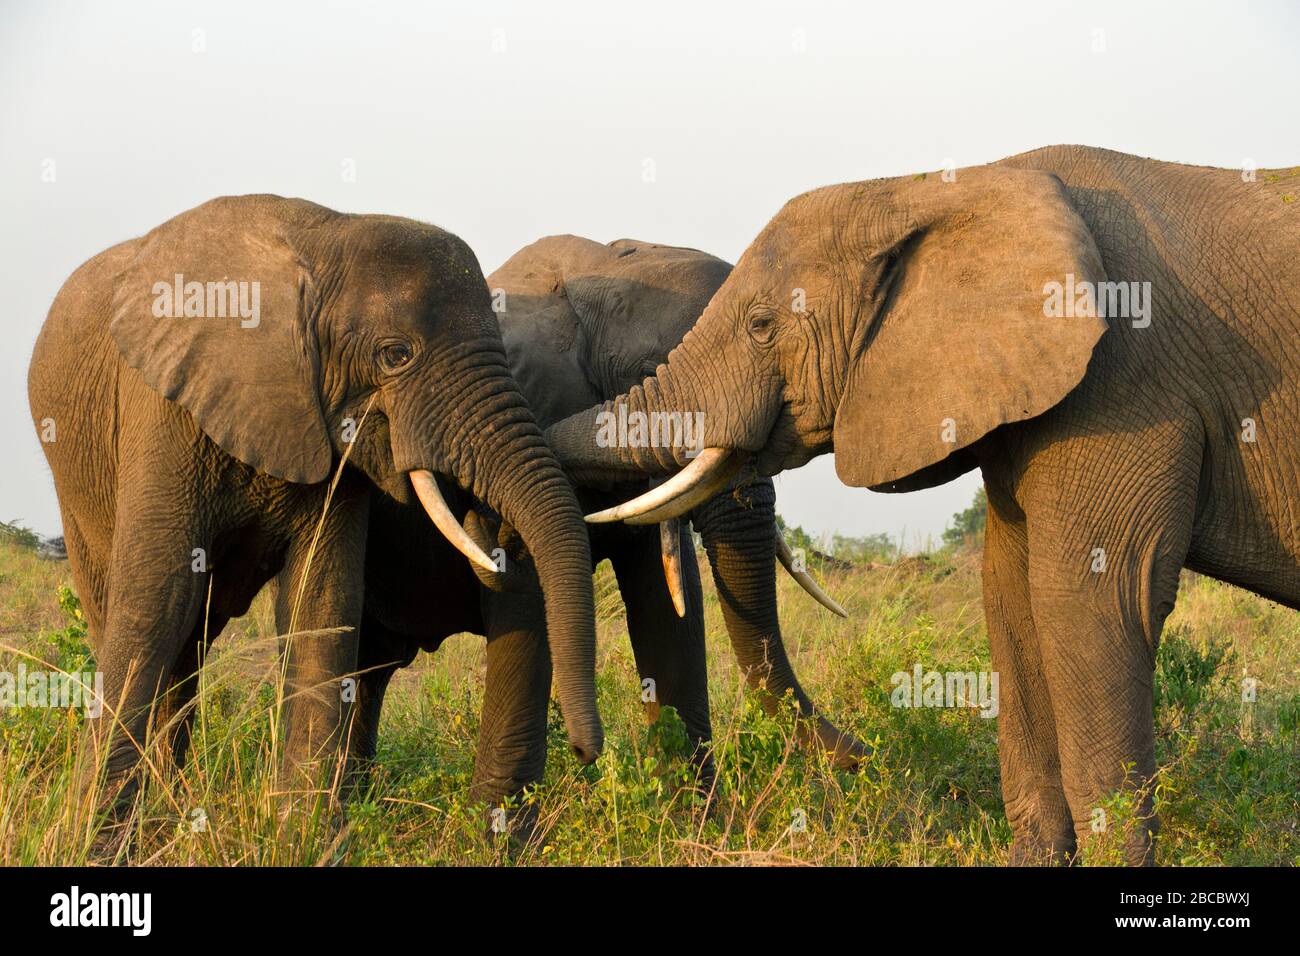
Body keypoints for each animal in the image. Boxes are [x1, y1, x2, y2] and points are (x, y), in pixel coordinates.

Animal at [27, 195, 602, 825]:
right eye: (395, 355)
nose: (585, 752)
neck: (328, 235)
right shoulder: (164, 408)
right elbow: (156, 599)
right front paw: (95, 834)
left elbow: (322, 603)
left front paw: (305, 833)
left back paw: (171, 807)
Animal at [545, 145, 1300, 865]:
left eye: (761, 325)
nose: (865, 758)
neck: (939, 189)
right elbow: (1011, 599)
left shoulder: (1127, 384)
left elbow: (1090, 599)